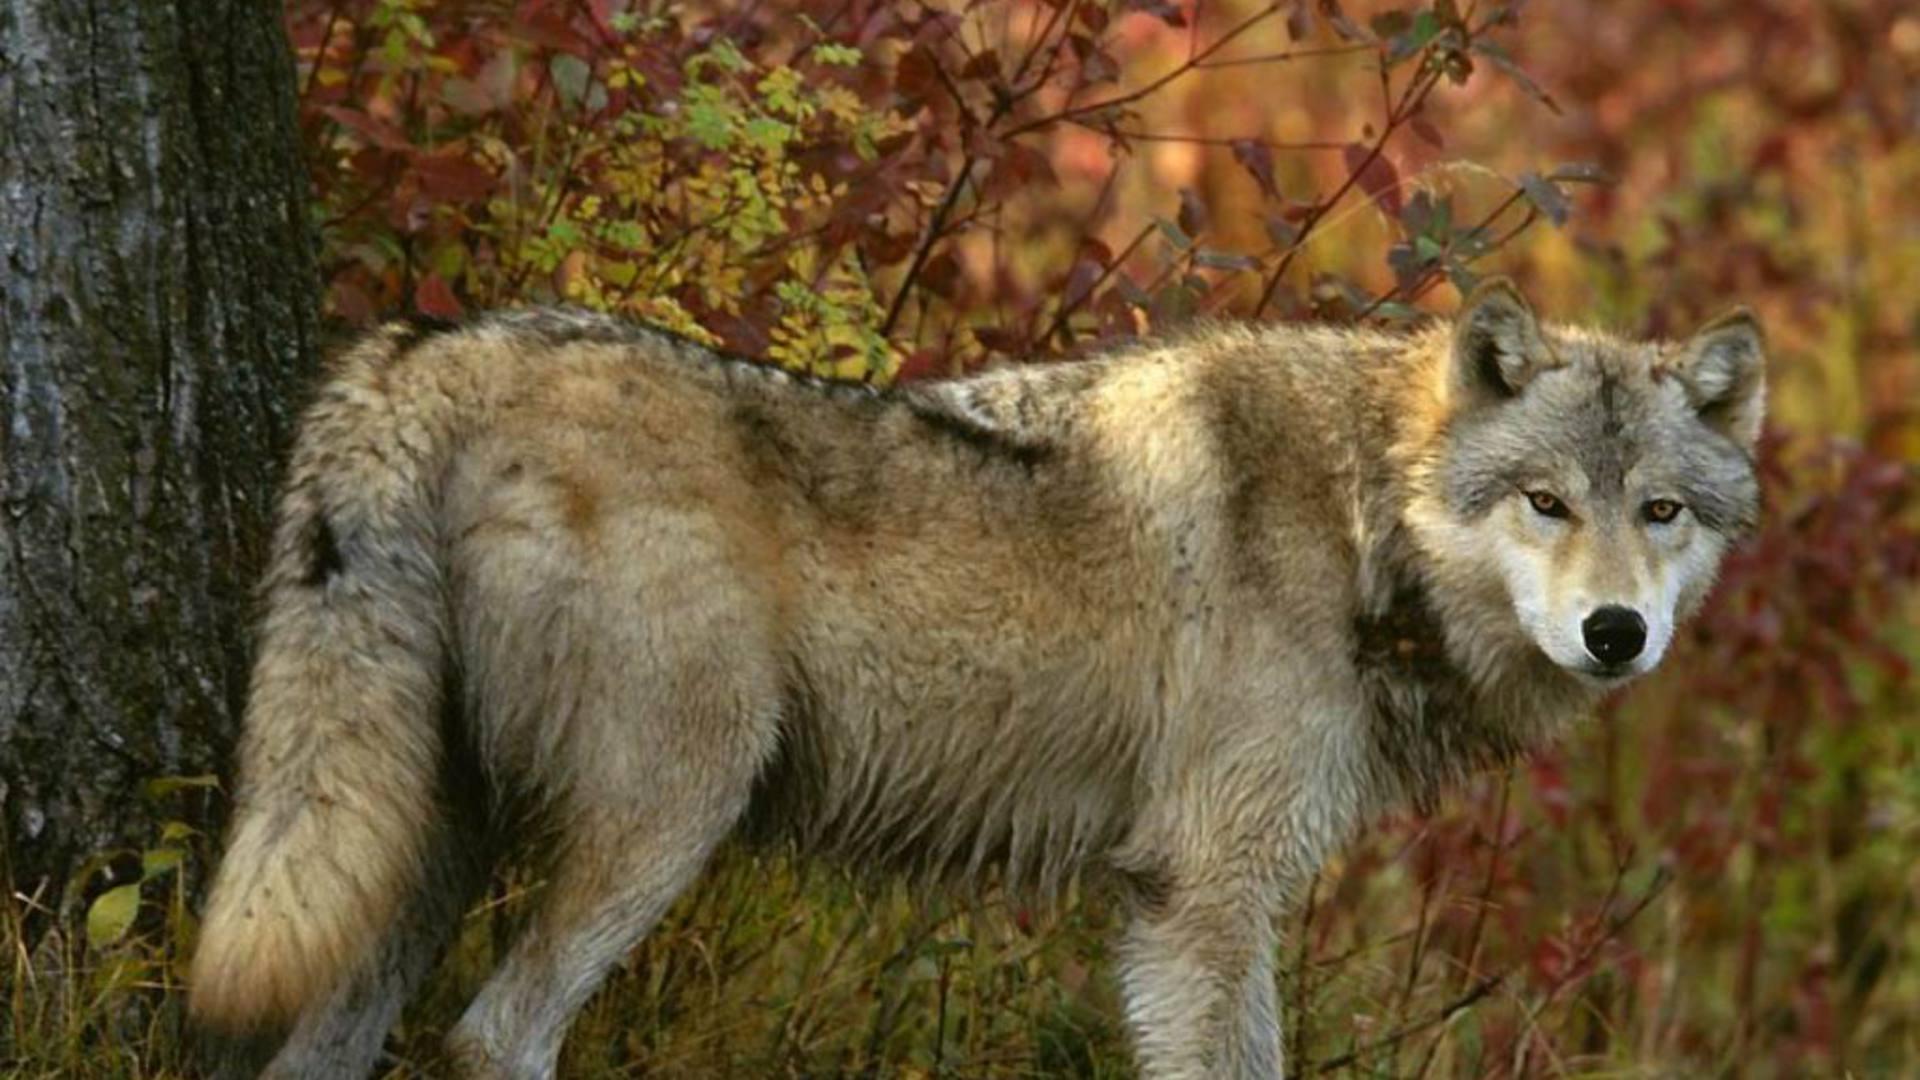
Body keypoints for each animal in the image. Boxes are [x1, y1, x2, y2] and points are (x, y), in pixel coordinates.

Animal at [189, 279, 1765, 1078]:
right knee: (493, 1039)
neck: (1361, 515)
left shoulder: (1208, 898)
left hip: (422, 846)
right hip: (666, 820)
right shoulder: (1203, 890)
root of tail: (434, 347)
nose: (1615, 634)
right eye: (1547, 504)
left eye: (1660, 513)